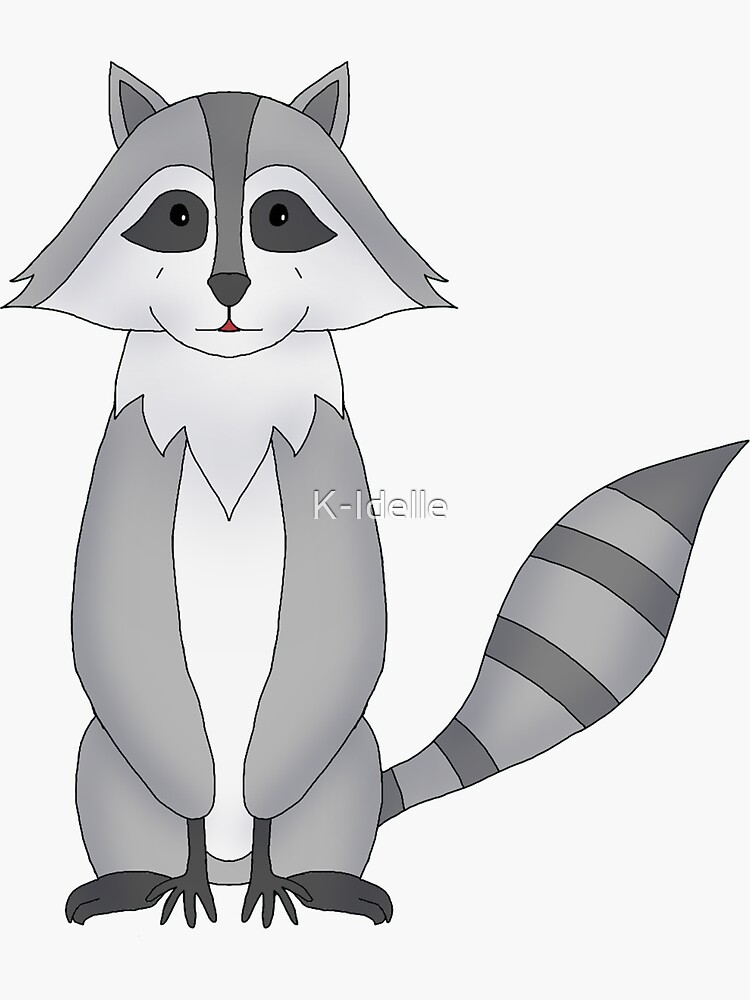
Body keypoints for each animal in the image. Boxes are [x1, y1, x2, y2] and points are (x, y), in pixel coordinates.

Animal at [6, 62, 745, 928]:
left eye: (280, 217)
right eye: (177, 216)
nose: (229, 285)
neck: (228, 386)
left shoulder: (323, 462)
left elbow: (337, 637)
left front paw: (274, 871)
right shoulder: (135, 460)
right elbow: (120, 638)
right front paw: (181, 868)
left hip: (346, 762)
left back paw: (301, 875)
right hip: (108, 759)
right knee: (129, 769)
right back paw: (153, 875)